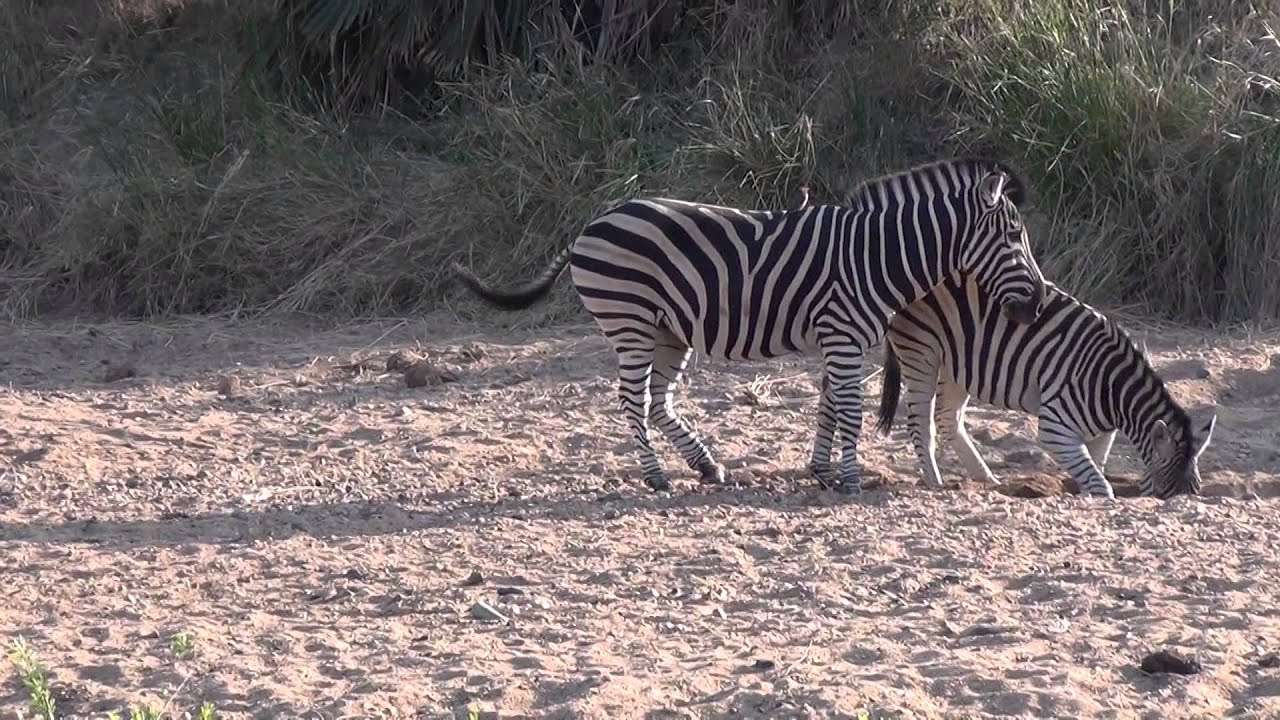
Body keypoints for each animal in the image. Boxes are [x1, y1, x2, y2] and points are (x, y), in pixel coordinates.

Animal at [451, 157, 1049, 495]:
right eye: (1014, 237)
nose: (1039, 304)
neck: (874, 254)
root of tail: (593, 221)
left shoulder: (838, 337)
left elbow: (827, 406)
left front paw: (822, 472)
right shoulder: (842, 335)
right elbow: (850, 412)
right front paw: (850, 479)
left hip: (669, 330)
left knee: (659, 401)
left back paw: (707, 466)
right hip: (631, 320)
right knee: (632, 400)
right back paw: (656, 476)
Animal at [873, 271, 1217, 499]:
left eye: (1195, 492)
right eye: (1164, 493)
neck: (1113, 392)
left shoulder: (1103, 433)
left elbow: (1094, 468)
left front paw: (1081, 493)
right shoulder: (1055, 426)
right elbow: (1099, 482)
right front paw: (1098, 496)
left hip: (957, 362)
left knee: (948, 419)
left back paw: (986, 478)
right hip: (922, 350)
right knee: (921, 419)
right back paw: (934, 479)